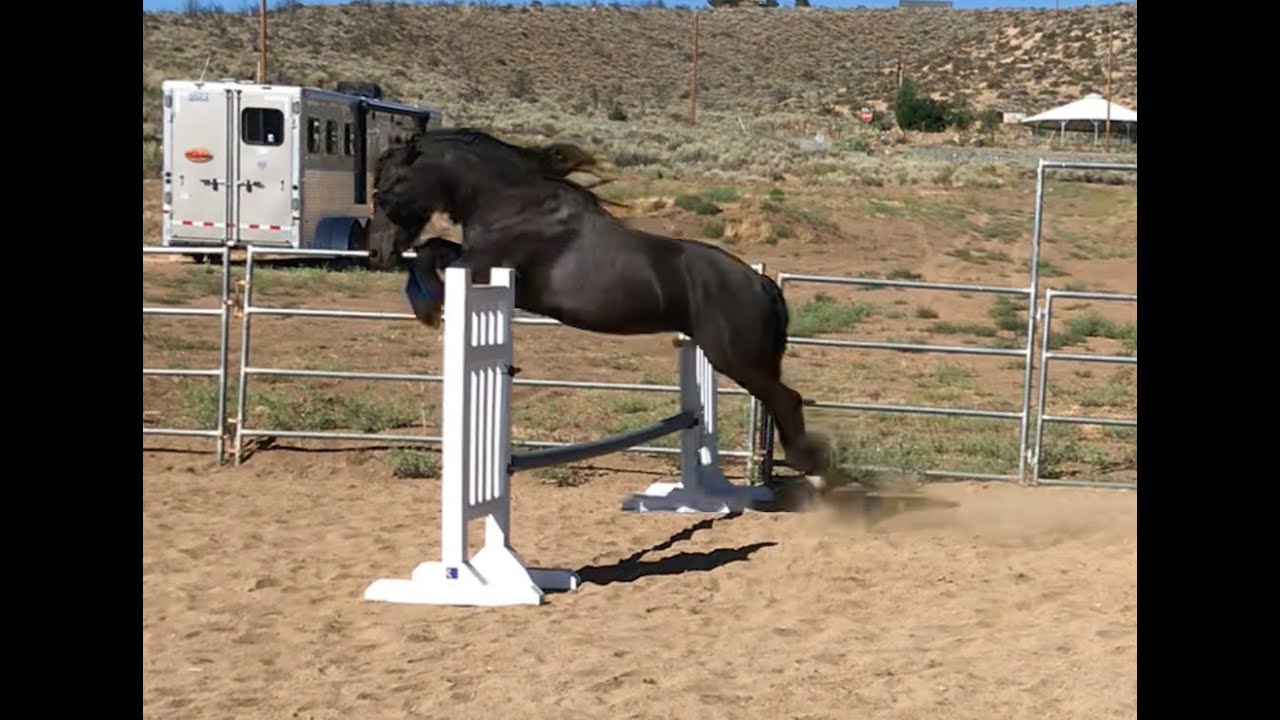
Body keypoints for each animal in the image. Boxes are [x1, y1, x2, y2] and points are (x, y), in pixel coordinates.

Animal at [370, 128, 836, 481]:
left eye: (385, 191)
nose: (379, 253)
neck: (512, 200)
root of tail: (759, 282)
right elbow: (434, 247)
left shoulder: (484, 267)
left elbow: (432, 252)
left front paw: (427, 307)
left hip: (736, 359)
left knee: (787, 400)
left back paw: (813, 472)